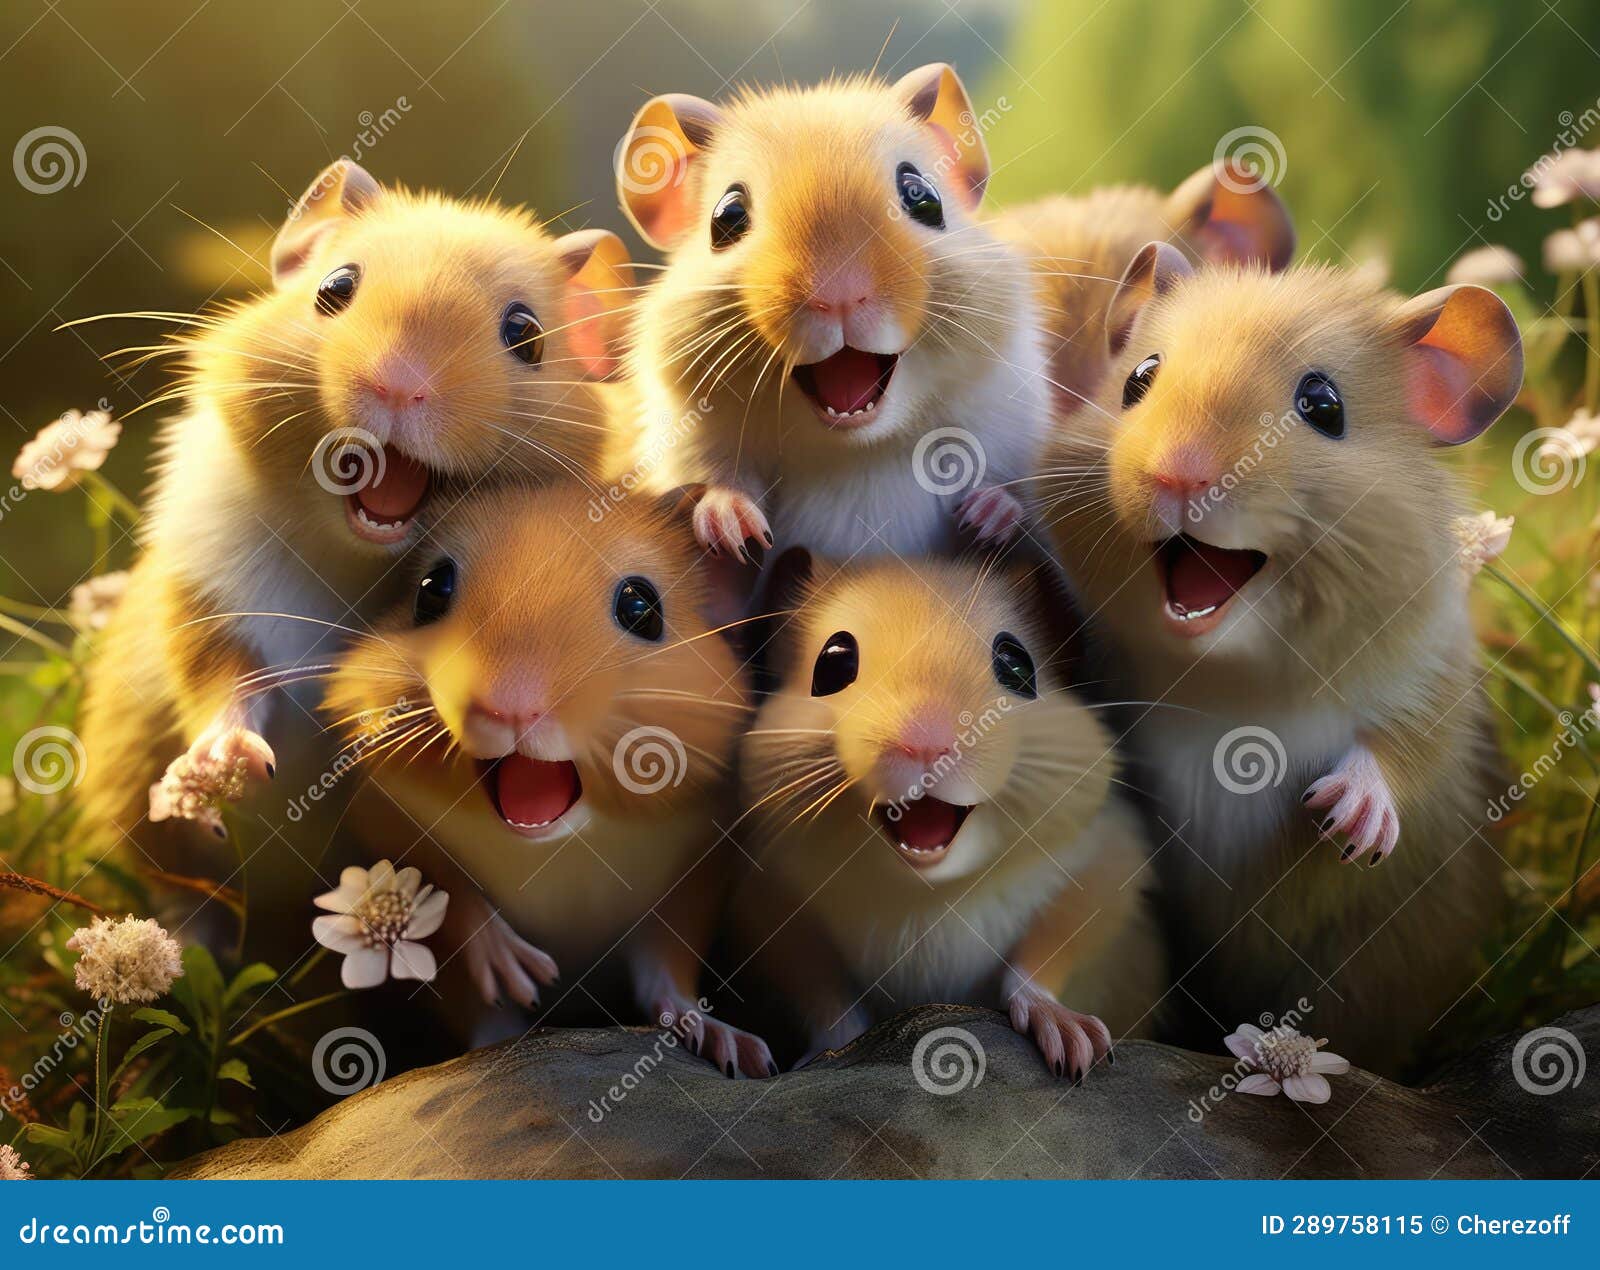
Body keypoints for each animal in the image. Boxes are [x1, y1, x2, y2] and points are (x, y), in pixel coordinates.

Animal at [78, 160, 633, 916]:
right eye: (335, 288)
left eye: (525, 334)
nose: (396, 386)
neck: (357, 552)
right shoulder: (210, 588)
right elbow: (223, 684)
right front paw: (226, 768)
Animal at [322, 482, 775, 1077]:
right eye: (431, 590)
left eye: (641, 608)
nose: (511, 709)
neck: (553, 848)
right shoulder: (382, 819)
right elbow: (444, 889)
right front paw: (520, 971)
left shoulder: (696, 870)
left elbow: (666, 969)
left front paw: (738, 1047)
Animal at [613, 65, 1048, 566]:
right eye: (728, 218)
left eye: (922, 197)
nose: (838, 295)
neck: (855, 448)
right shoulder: (688, 442)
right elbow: (720, 480)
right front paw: (734, 529)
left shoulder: (1009, 418)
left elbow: (1010, 482)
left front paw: (991, 515)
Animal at [734, 549, 1164, 1076]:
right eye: (832, 664)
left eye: (1017, 665)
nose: (925, 744)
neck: (928, 892)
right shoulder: (770, 907)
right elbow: (826, 997)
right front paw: (811, 1061)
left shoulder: (1102, 873)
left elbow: (1042, 959)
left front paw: (1076, 1045)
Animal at [1037, 242, 1523, 1075]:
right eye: (1138, 379)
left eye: (1323, 406)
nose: (1177, 473)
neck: (1234, 679)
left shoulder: (1436, 680)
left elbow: (1400, 754)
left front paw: (1344, 823)